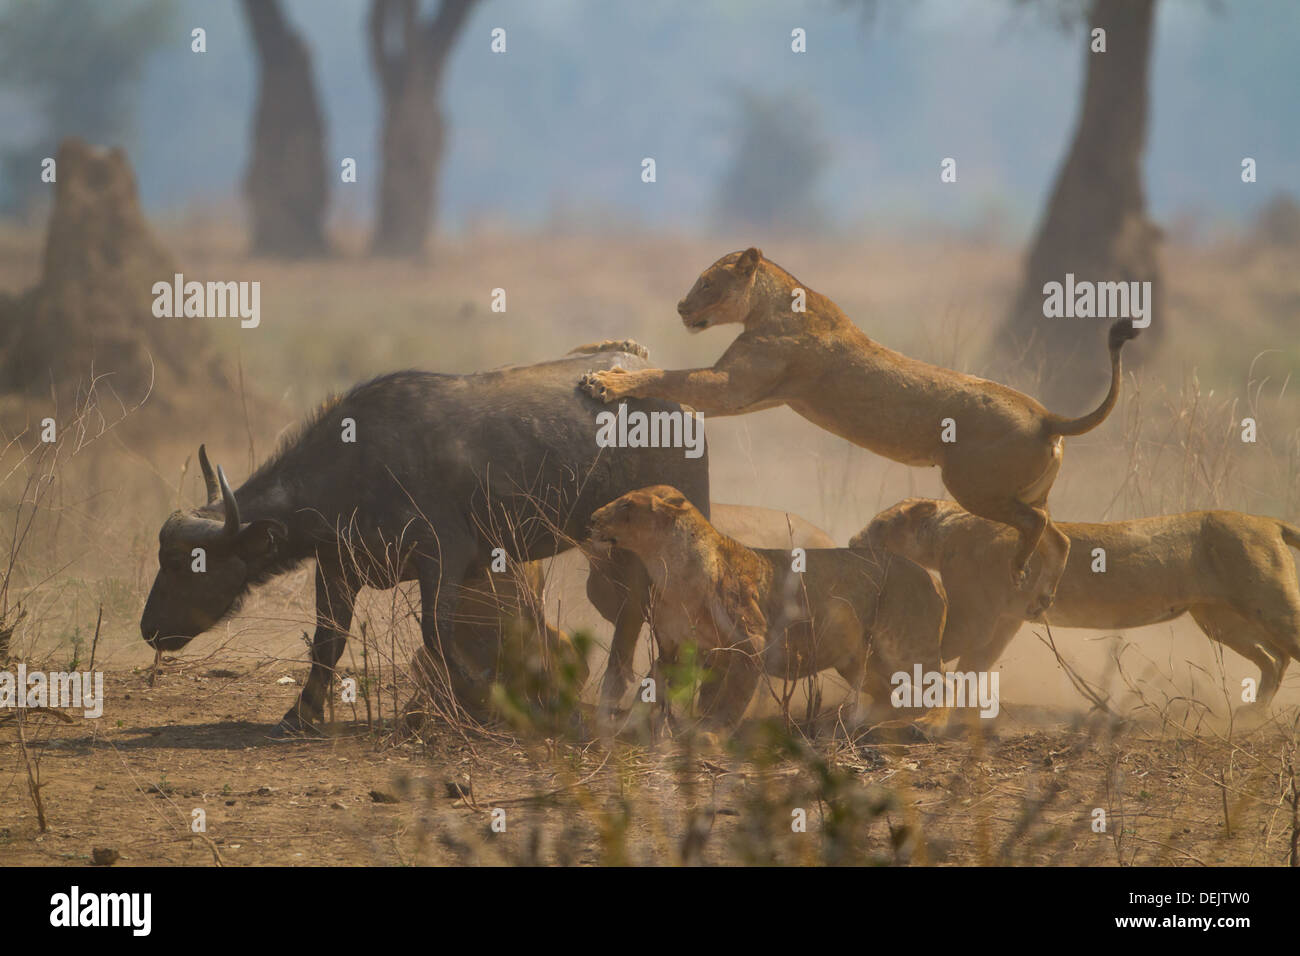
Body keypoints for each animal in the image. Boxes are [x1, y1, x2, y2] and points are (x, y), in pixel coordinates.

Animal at [579, 248, 1140, 617]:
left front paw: (607, 381)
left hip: (973, 485)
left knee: (1036, 525)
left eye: (707, 283)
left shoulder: (730, 386)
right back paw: (1042, 594)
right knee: (1059, 536)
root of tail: (1047, 415)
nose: (680, 307)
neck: (771, 301)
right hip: (1025, 490)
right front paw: (606, 348)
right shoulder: (750, 393)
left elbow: (668, 375)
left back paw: (1020, 569)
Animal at [587, 485, 947, 730]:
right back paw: (871, 721)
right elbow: (650, 688)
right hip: (857, 658)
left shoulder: (750, 642)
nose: (592, 518)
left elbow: (728, 697)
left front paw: (710, 734)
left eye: (626, 504)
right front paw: (627, 725)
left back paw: (930, 723)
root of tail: (929, 573)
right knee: (888, 690)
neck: (667, 567)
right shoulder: (675, 649)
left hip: (909, 646)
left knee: (943, 682)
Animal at [856, 497, 1300, 710]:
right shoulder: (1004, 621)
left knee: (1282, 652)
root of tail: (1268, 521)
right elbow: (972, 670)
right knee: (1274, 659)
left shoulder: (974, 619)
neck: (946, 530)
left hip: (1270, 605)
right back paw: (1252, 714)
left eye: (880, 524)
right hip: (1221, 619)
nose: (854, 539)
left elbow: (936, 650)